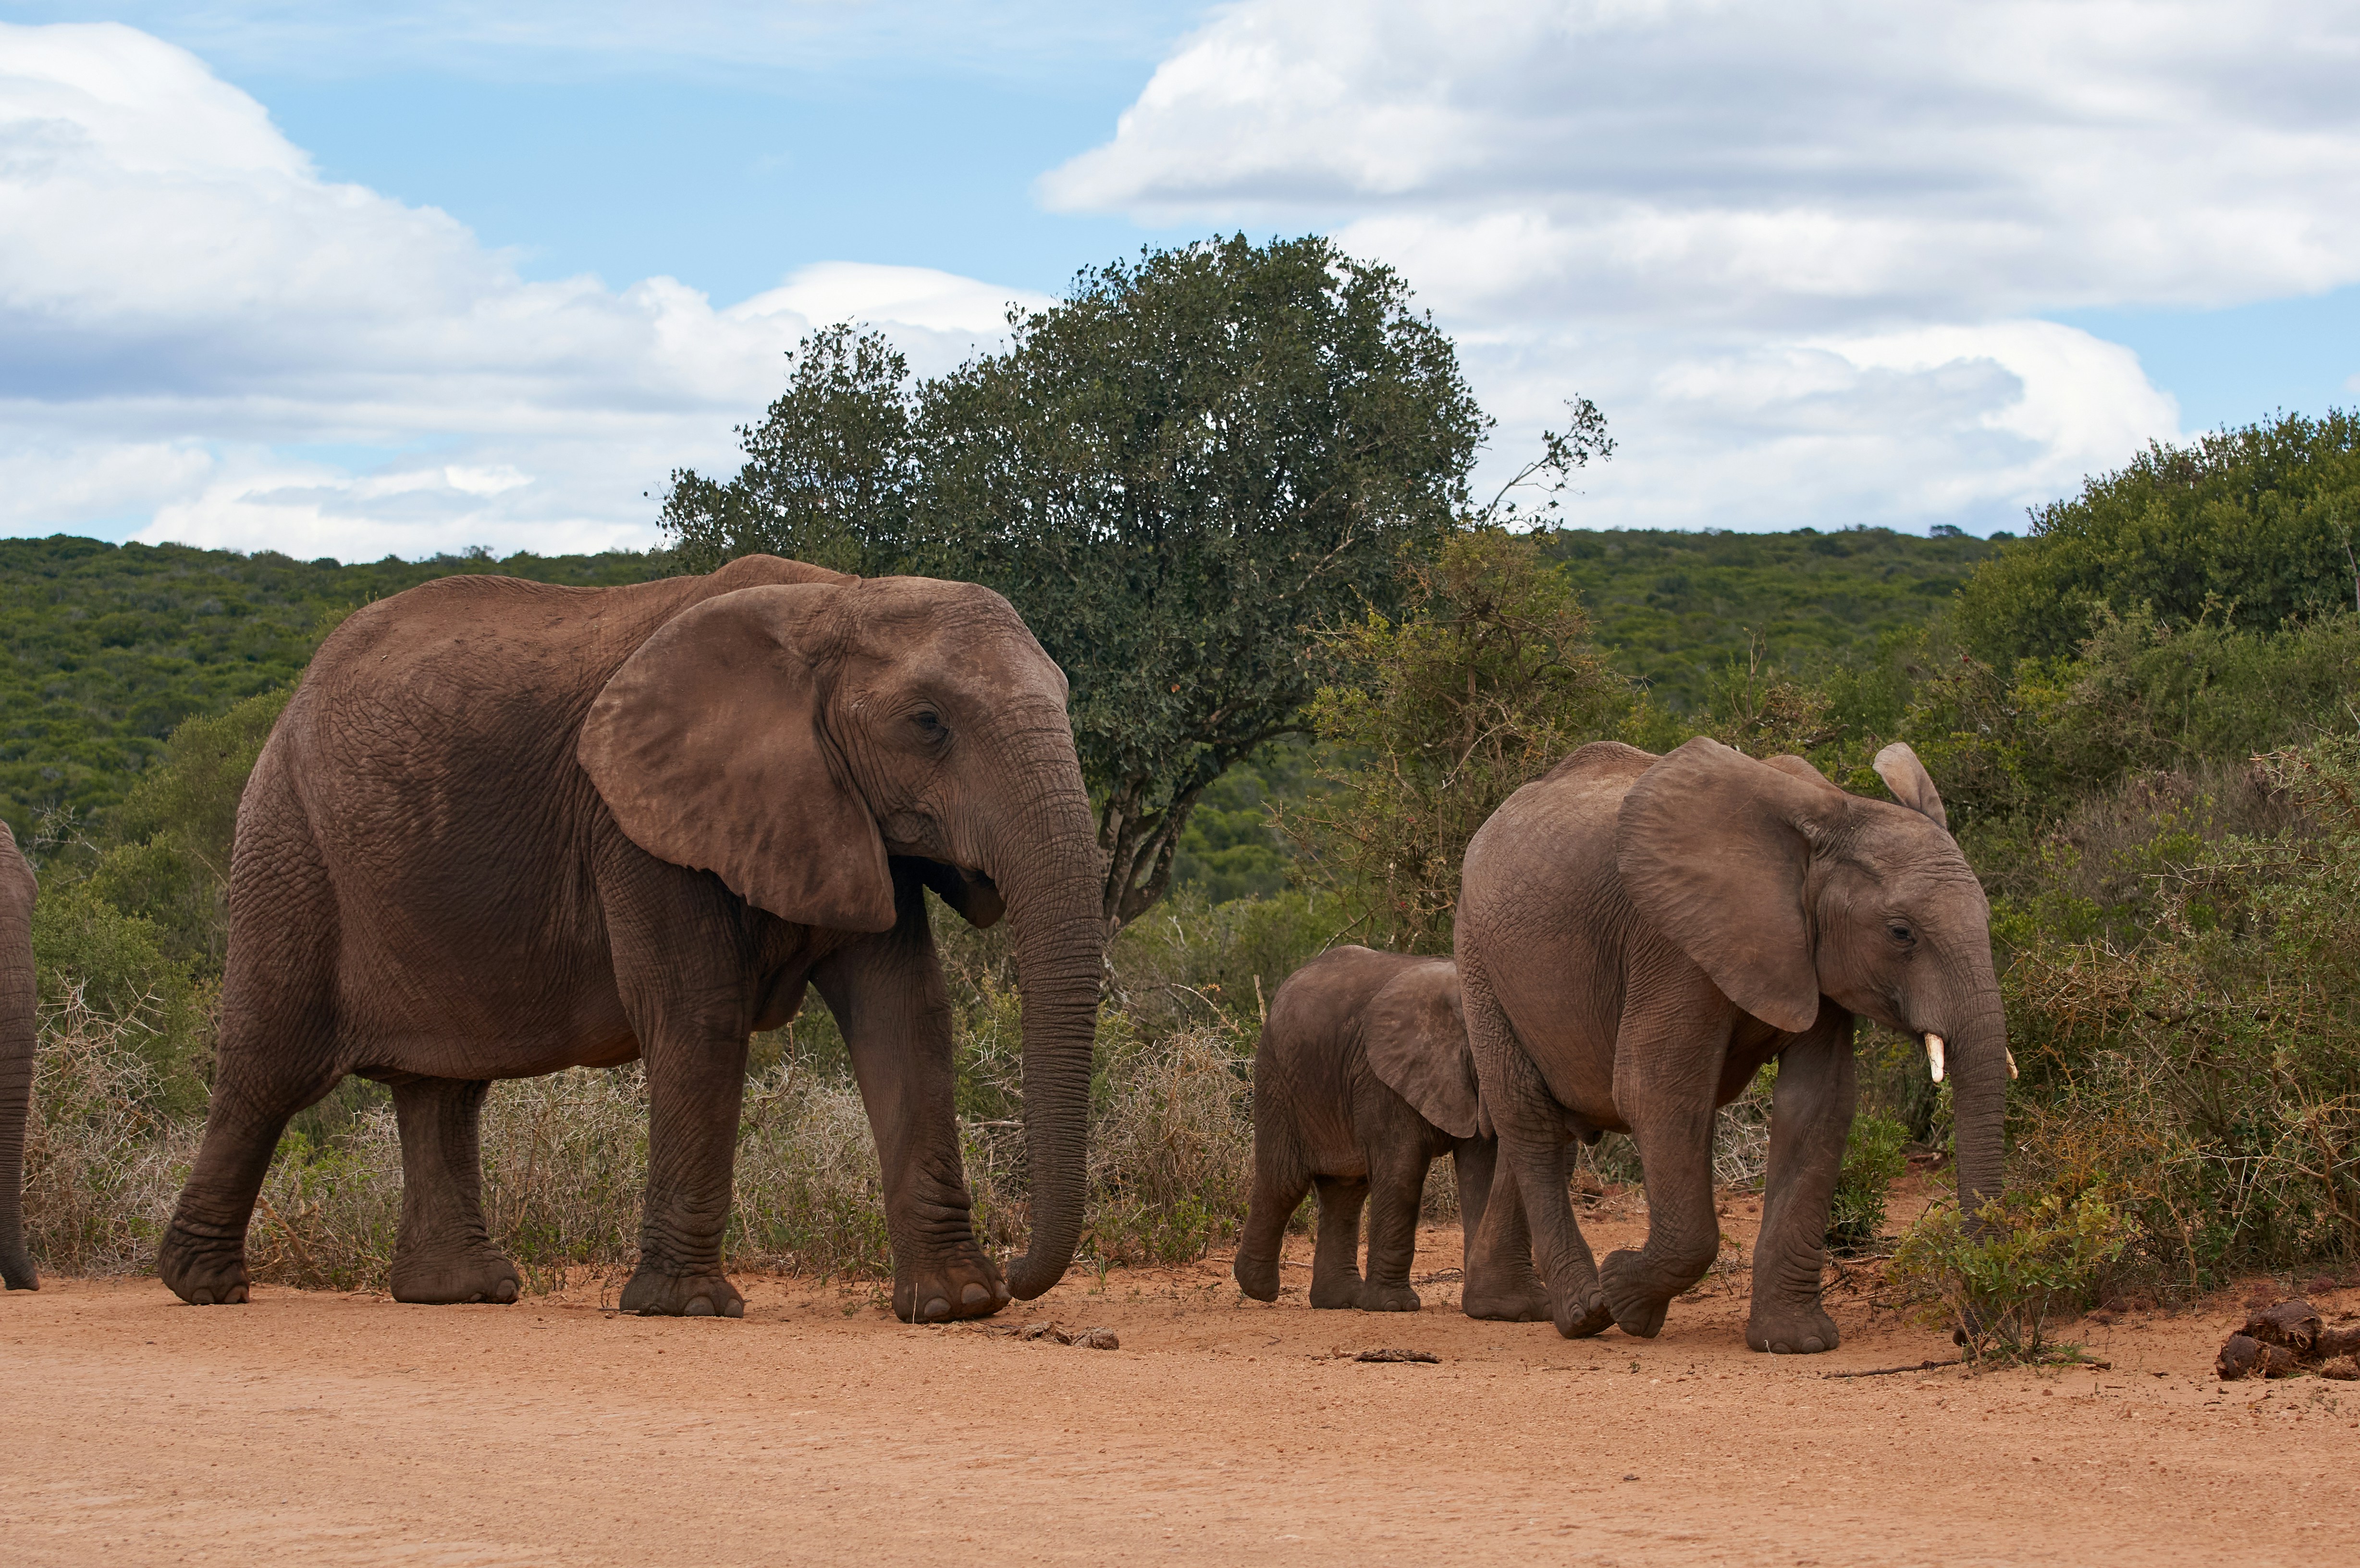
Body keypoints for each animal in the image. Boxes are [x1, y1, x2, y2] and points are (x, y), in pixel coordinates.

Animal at [158, 555, 1106, 1323]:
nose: (1020, 1271)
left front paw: (956, 1305)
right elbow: (699, 1017)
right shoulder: (634, 823)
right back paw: (204, 1286)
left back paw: (461, 1292)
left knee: (445, 1086)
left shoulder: (857, 824)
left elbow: (905, 1017)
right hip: (289, 842)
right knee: (269, 1066)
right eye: (928, 723)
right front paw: (689, 1307)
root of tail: (298, 693)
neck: (834, 600)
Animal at [1233, 946, 1548, 1319]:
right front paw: (1394, 1307)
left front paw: (1500, 1307)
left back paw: (1339, 1301)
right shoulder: (1380, 1077)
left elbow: (1481, 1173)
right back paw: (1258, 1289)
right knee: (1284, 1183)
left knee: (1346, 1189)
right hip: (1277, 1078)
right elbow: (1402, 1168)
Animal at [1456, 737, 2008, 1353]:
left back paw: (1507, 1307)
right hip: (1478, 958)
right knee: (1529, 1120)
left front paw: (1794, 1343)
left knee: (1544, 1127)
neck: (1831, 816)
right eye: (1901, 933)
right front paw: (1626, 1299)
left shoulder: (1807, 953)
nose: (1966, 1336)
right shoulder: (1673, 943)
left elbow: (1818, 1103)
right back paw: (1584, 1314)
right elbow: (1656, 1091)